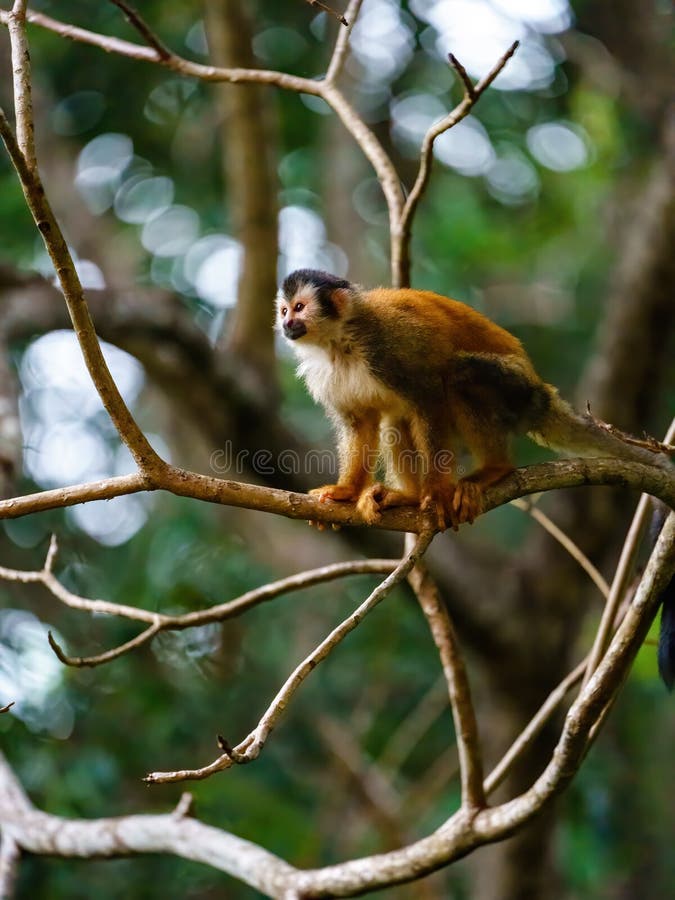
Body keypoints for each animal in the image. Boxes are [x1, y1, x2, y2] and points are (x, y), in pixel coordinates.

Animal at [276, 268, 671, 534]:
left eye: (300, 307)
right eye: (284, 310)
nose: (286, 324)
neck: (339, 341)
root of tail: (543, 394)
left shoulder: (388, 345)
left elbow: (429, 395)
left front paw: (436, 493)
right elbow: (360, 423)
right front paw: (345, 491)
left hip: (516, 391)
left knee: (458, 376)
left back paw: (494, 469)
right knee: (397, 418)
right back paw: (408, 495)